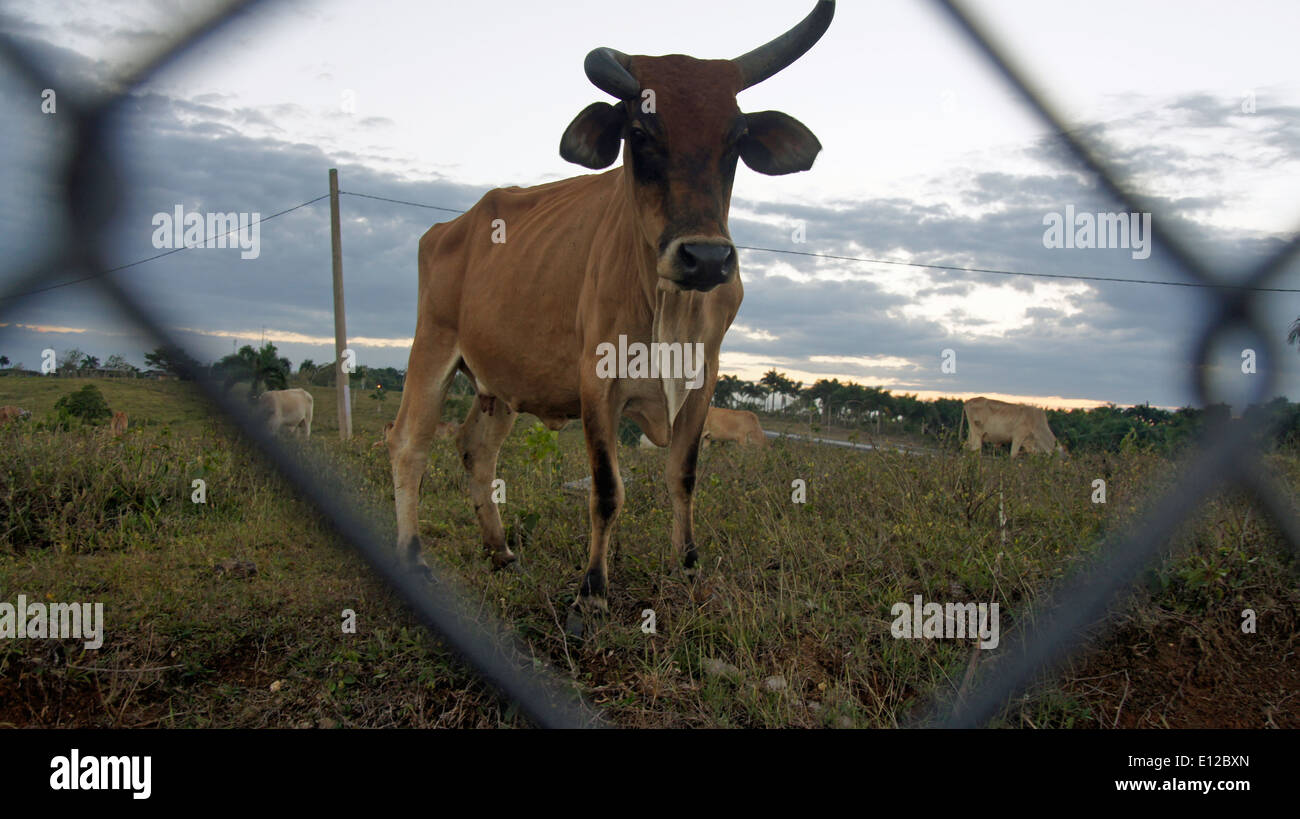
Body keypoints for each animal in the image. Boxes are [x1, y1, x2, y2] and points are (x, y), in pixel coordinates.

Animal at [387, 1, 835, 625]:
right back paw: (412, 555)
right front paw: (593, 588)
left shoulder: (702, 381)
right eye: (641, 133)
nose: (706, 257)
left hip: (498, 381)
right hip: (431, 344)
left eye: (736, 138)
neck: (670, 306)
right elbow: (606, 488)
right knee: (410, 443)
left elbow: (683, 476)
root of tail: (452, 225)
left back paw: (500, 550)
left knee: (477, 450)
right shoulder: (596, 381)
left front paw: (688, 566)